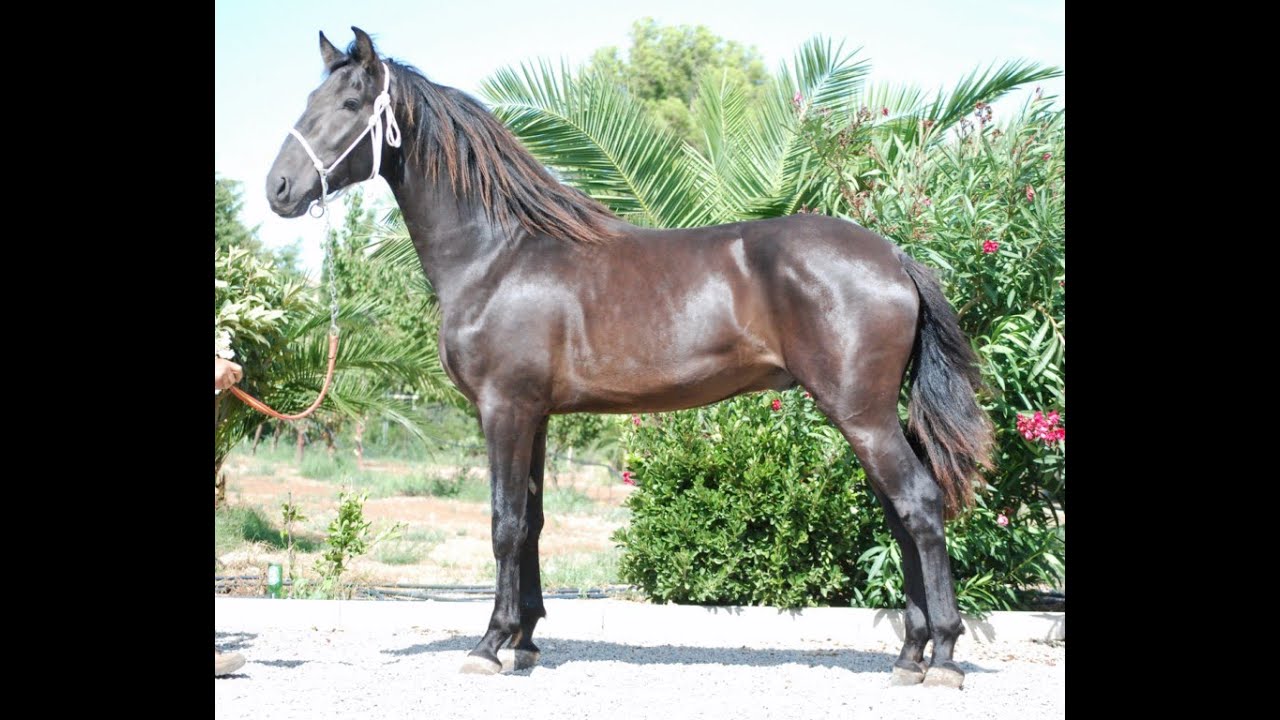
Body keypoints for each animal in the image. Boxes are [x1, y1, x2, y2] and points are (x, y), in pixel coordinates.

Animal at [266, 27, 993, 688]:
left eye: (351, 102)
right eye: (309, 98)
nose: (279, 188)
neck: (499, 255)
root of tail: (894, 256)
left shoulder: (504, 409)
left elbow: (504, 524)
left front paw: (489, 645)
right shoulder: (537, 416)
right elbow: (533, 523)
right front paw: (526, 641)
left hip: (860, 415)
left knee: (919, 505)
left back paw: (943, 658)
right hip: (869, 418)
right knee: (900, 514)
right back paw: (909, 655)